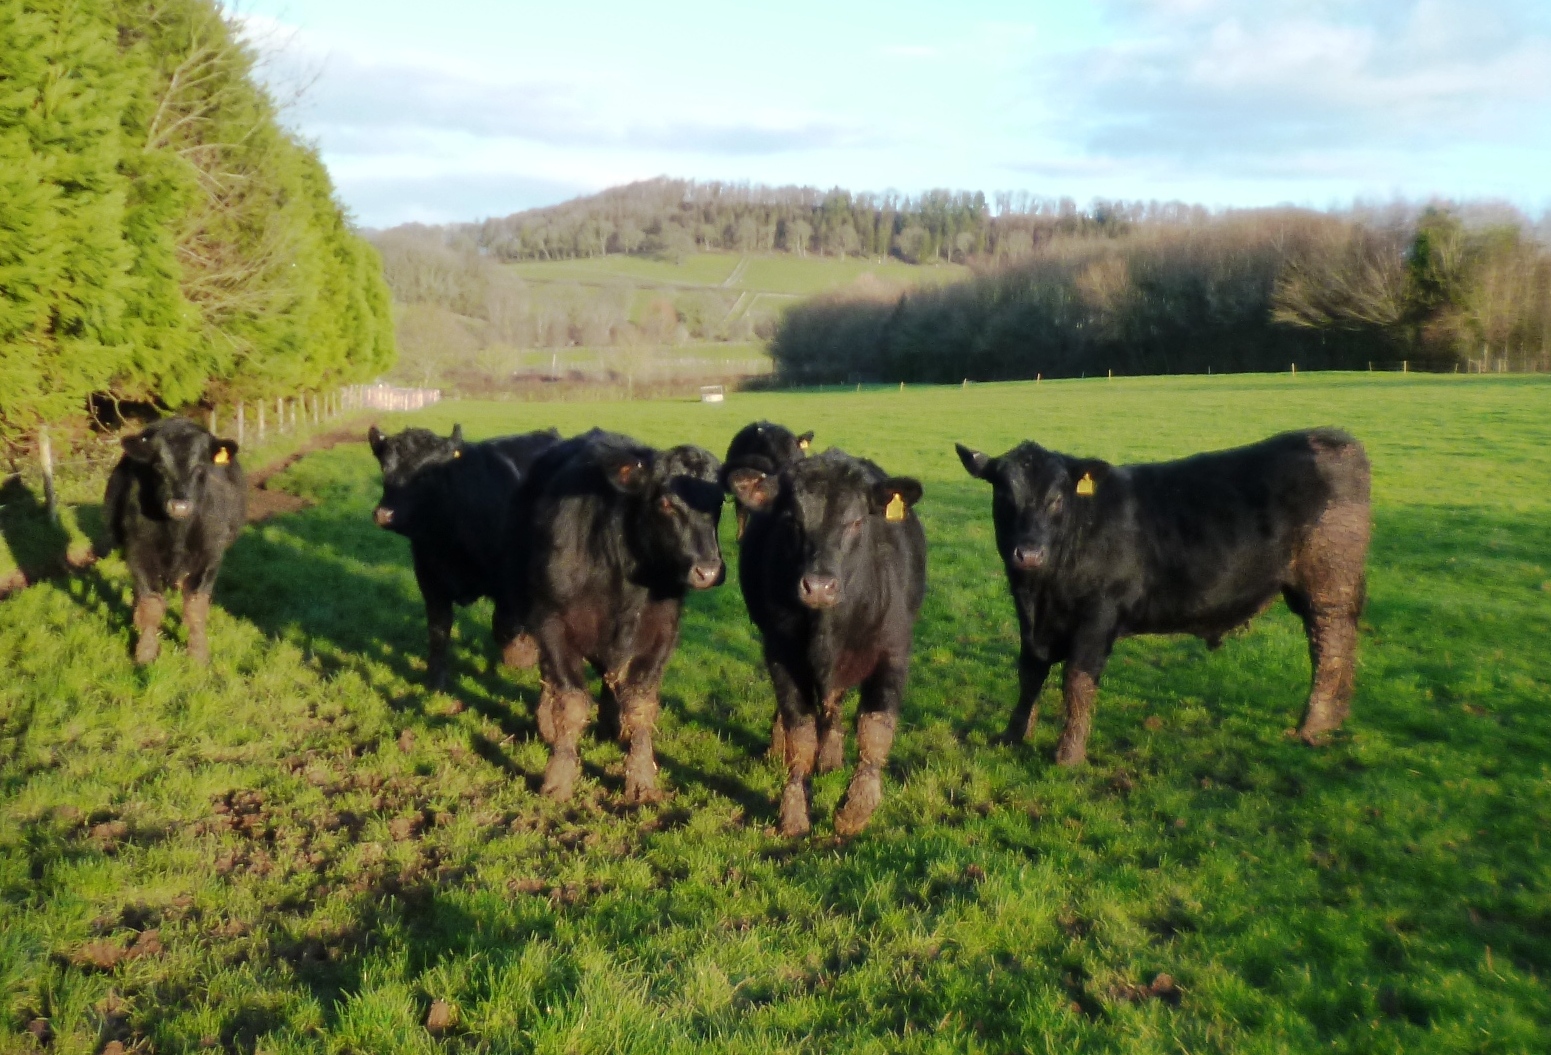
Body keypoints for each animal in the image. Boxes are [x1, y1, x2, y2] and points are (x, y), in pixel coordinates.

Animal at [104, 417, 246, 665]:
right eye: (159, 466)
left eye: (200, 466)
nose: (180, 506)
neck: (177, 532)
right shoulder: (138, 552)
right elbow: (151, 604)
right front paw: (145, 652)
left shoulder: (210, 554)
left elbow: (196, 606)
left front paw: (198, 654)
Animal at [368, 424, 561, 690]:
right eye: (385, 468)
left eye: (426, 474)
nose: (385, 514)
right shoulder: (431, 583)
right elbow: (439, 631)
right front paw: (435, 681)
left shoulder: (505, 586)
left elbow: (503, 625)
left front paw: (520, 656)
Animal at [516, 429, 726, 804]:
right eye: (665, 503)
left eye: (719, 504)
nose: (709, 571)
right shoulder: (553, 625)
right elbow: (570, 702)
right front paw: (559, 777)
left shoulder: (661, 632)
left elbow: (640, 706)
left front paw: (641, 779)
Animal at [726, 449, 927, 838]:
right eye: (792, 521)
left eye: (857, 522)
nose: (819, 587)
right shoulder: (782, 654)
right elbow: (801, 736)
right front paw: (793, 813)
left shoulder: (893, 652)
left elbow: (875, 731)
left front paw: (855, 811)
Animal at [955, 428, 1371, 764]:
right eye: (1004, 494)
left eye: (1057, 498)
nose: (1028, 554)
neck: (1042, 592)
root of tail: (1333, 439)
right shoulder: (1030, 620)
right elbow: (1029, 672)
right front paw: (1013, 734)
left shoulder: (1098, 616)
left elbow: (1077, 681)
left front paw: (1068, 755)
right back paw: (1335, 718)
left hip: (1327, 585)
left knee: (1329, 647)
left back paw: (1313, 724)